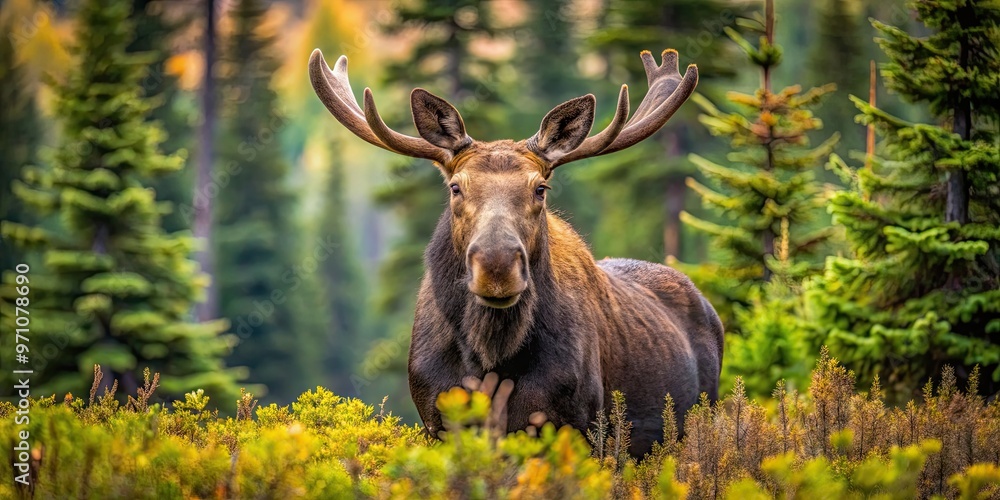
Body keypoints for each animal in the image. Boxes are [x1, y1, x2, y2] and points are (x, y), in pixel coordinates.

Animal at [309, 47, 723, 457]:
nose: (497, 266)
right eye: (456, 187)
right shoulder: (436, 422)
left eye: (540, 188)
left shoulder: (582, 427)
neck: (491, 357)